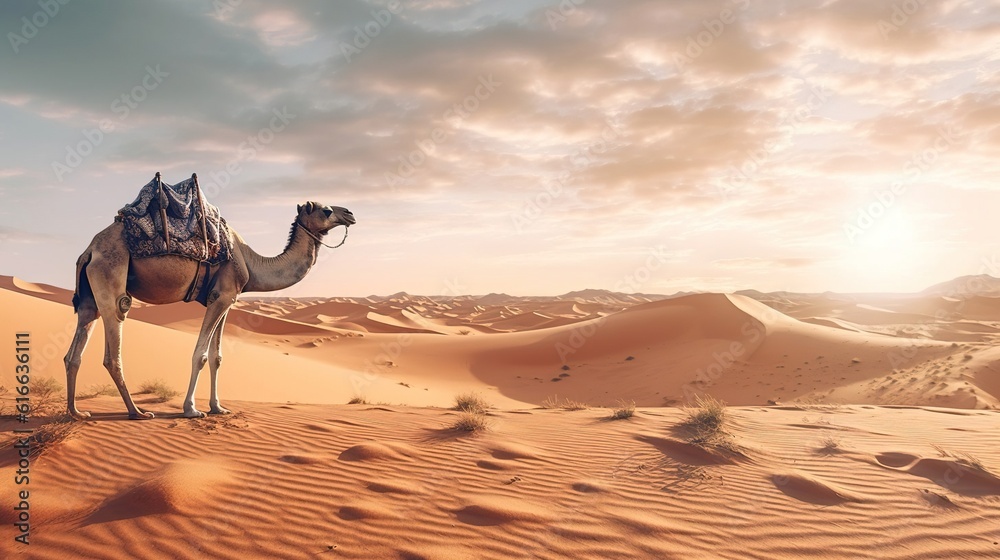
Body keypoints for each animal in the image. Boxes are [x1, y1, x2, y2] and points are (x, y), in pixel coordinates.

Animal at [63, 201, 356, 419]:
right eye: (325, 210)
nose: (350, 213)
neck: (250, 262)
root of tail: (89, 250)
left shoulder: (227, 299)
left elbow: (217, 357)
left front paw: (218, 407)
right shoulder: (220, 297)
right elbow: (200, 355)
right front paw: (191, 409)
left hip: (90, 295)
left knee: (74, 350)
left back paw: (76, 412)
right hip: (110, 275)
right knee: (114, 338)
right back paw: (137, 412)